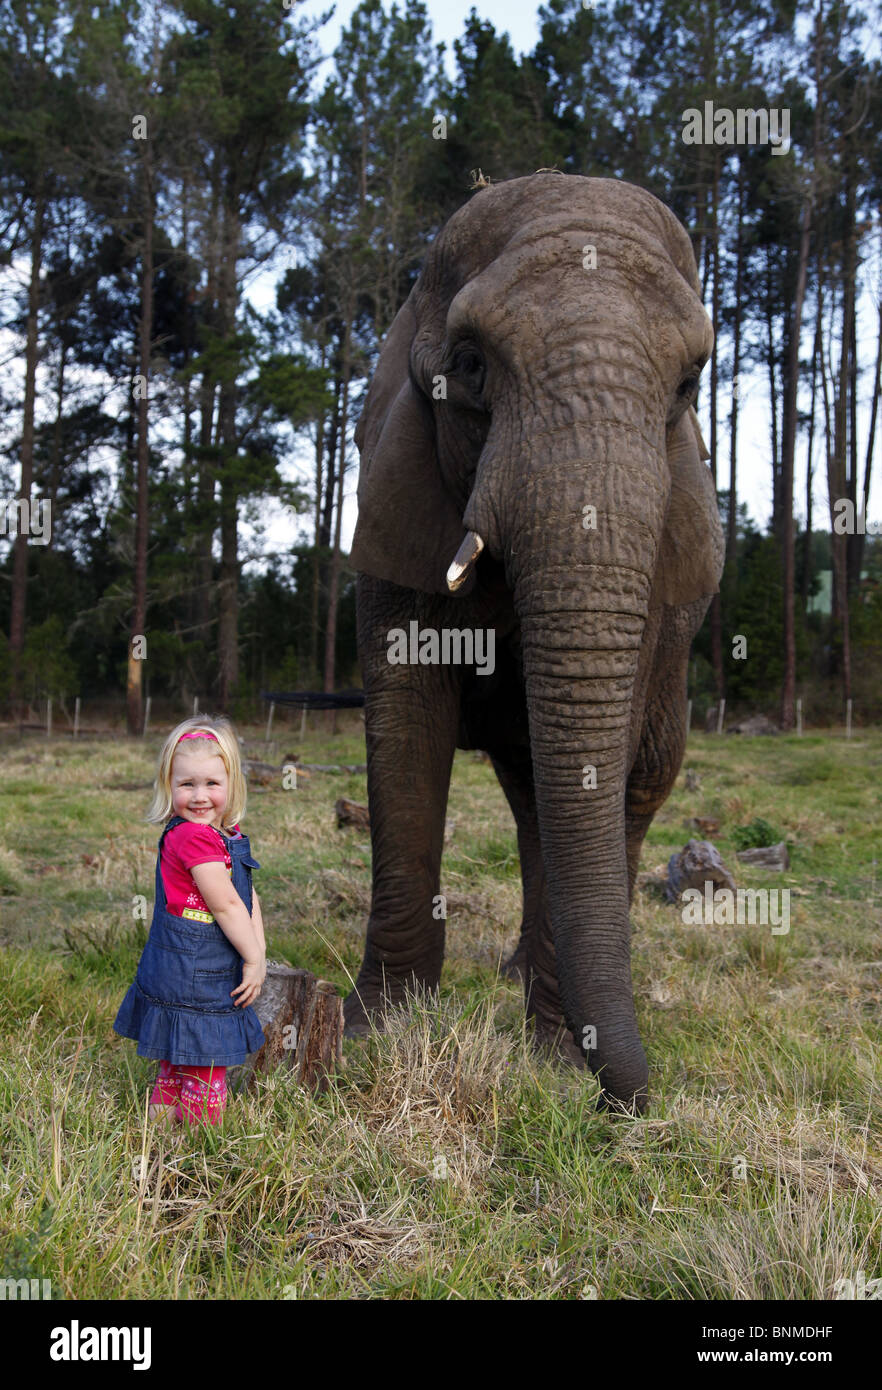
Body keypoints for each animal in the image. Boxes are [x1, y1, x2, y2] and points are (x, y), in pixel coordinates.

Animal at [342, 171, 724, 1113]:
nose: (637, 1102)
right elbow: (404, 734)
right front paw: (374, 1030)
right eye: (471, 366)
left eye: (689, 386)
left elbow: (600, 764)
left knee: (639, 781)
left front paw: (554, 1059)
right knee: (529, 799)